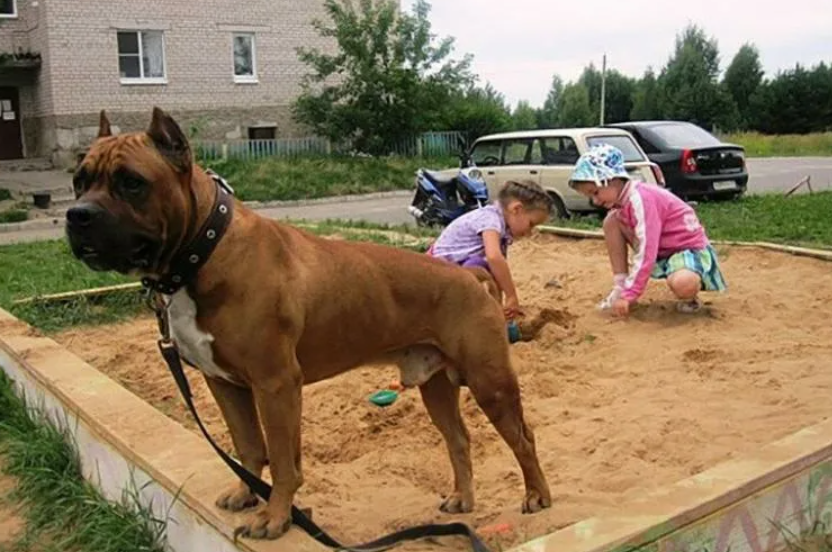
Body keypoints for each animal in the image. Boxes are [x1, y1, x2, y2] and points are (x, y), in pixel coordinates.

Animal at [66, 106, 552, 540]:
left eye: (132, 182)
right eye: (79, 180)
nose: (77, 215)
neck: (203, 250)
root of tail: (470, 276)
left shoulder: (276, 384)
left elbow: (282, 459)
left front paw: (275, 517)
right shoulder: (224, 383)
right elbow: (247, 446)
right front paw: (246, 493)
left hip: (489, 380)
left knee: (524, 437)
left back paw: (537, 497)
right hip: (435, 385)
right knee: (459, 440)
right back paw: (463, 499)